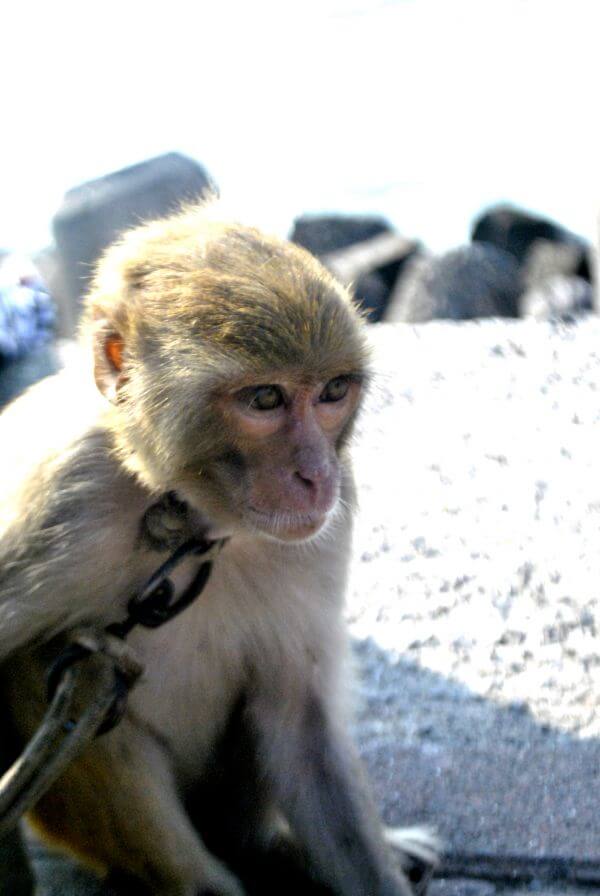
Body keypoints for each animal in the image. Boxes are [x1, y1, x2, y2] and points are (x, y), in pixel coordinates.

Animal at [0, 202, 438, 896]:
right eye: (265, 399)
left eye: (332, 392)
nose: (317, 474)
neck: (190, 521)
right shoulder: (61, 500)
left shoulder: (328, 528)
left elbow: (299, 721)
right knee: (73, 674)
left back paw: (272, 849)